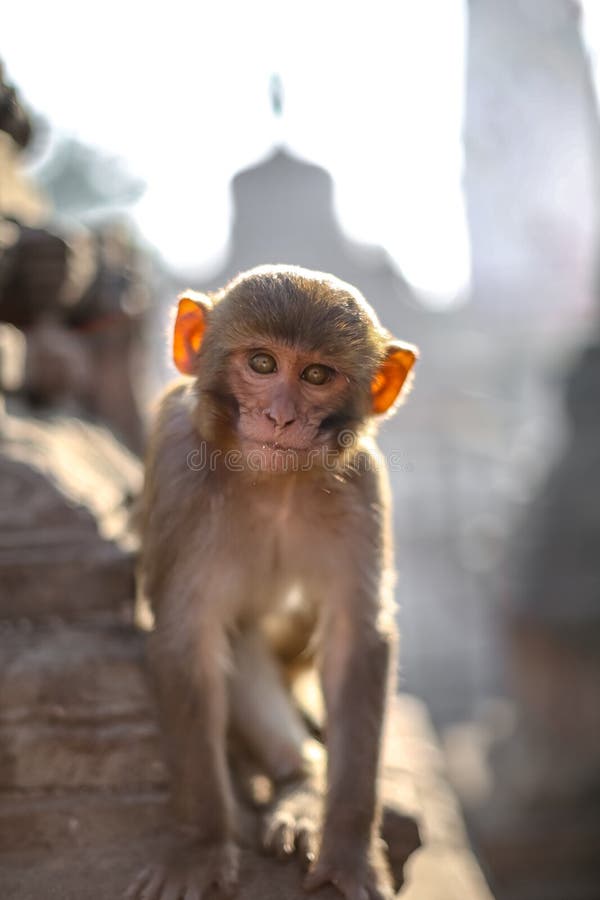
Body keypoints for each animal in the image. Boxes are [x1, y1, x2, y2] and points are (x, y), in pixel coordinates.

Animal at [126, 265, 418, 900]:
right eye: (262, 363)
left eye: (316, 375)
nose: (281, 417)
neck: (273, 484)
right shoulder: (181, 476)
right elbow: (187, 642)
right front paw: (202, 844)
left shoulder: (363, 487)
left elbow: (355, 643)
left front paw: (347, 850)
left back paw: (302, 787)